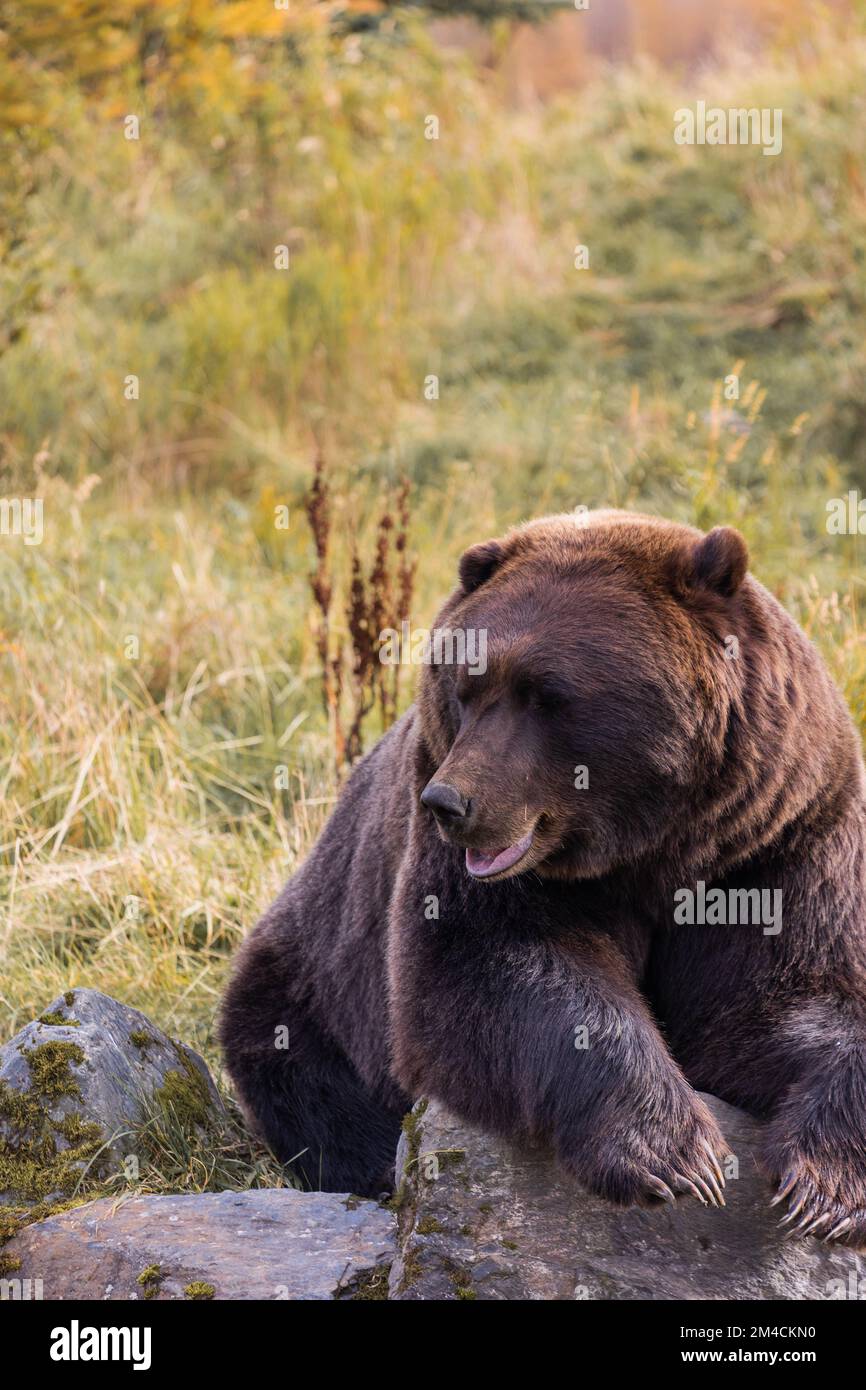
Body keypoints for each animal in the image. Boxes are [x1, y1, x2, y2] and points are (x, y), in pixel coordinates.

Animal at [220, 509, 866, 1244]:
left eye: (546, 694)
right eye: (465, 686)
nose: (449, 804)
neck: (656, 850)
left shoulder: (776, 841)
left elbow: (782, 1000)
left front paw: (820, 1188)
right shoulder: (487, 863)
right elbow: (492, 973)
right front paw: (670, 1153)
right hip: (315, 971)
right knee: (307, 1074)